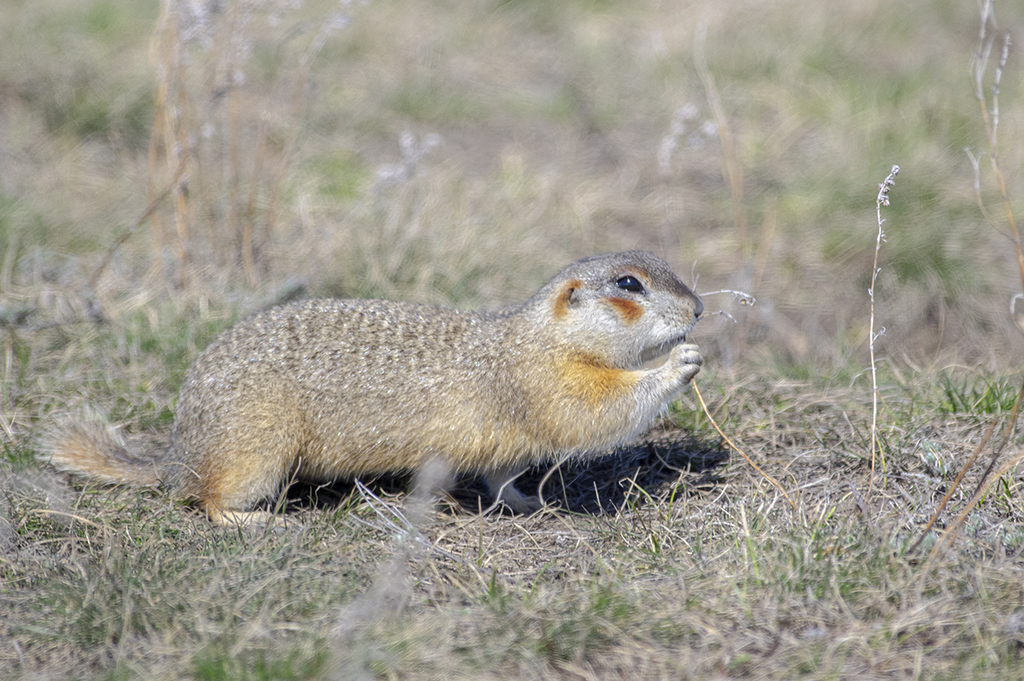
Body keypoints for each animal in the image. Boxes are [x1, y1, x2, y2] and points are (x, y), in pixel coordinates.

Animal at [46, 251, 704, 524]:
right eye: (629, 284)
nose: (699, 309)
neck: (541, 337)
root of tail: (177, 455)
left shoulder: (509, 439)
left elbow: (502, 476)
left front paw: (528, 503)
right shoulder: (544, 382)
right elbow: (595, 409)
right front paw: (681, 362)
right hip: (253, 451)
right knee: (204, 500)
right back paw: (256, 522)